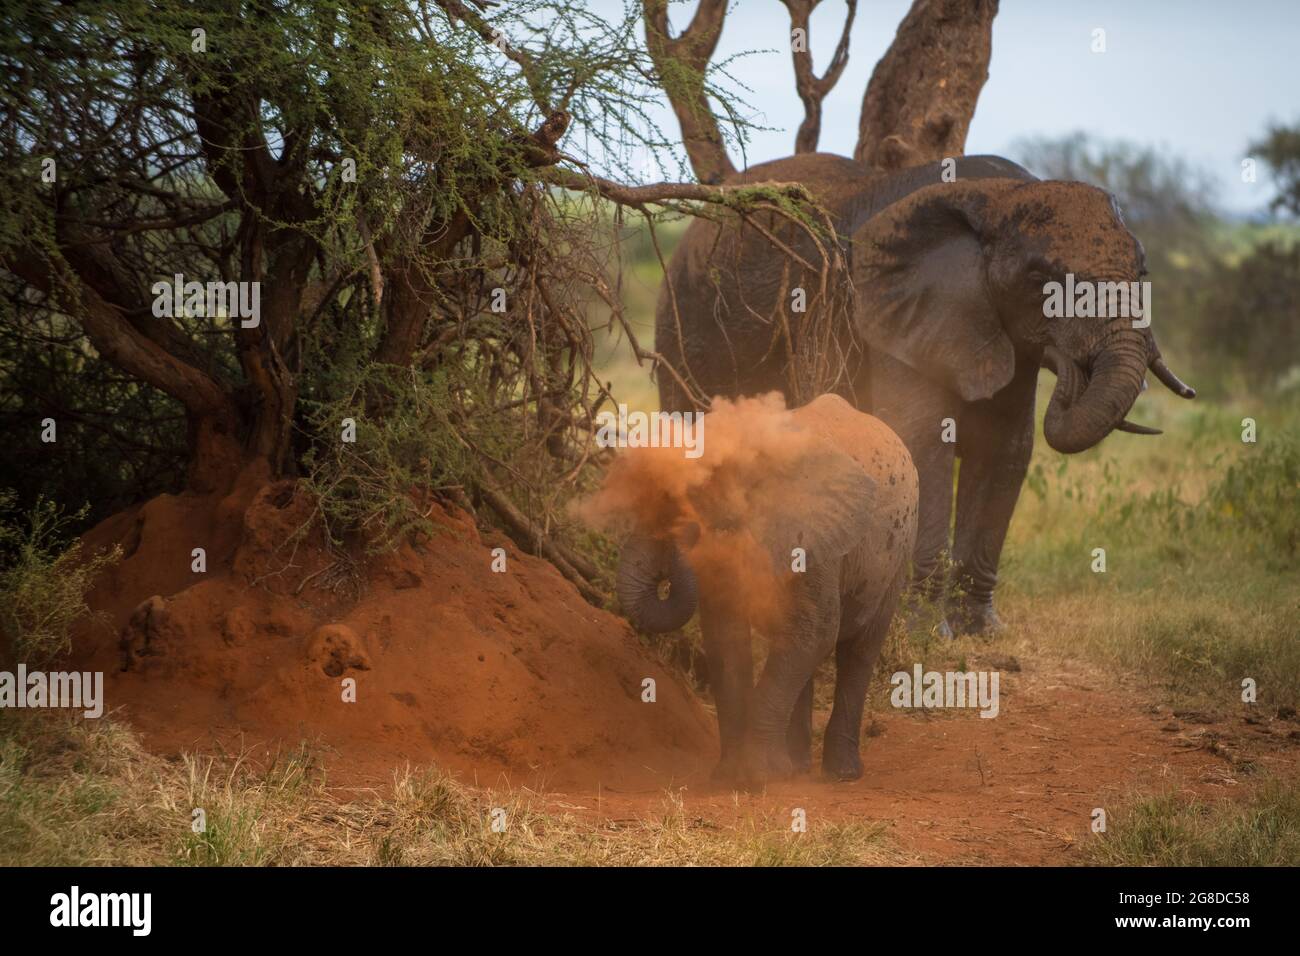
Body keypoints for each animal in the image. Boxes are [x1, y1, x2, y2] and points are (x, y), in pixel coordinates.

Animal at [616, 393, 918, 787]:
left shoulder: (814, 544)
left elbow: (816, 633)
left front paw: (757, 776)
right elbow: (727, 637)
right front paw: (730, 778)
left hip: (898, 553)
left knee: (859, 649)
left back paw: (840, 774)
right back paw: (796, 767)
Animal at [654, 153, 1196, 637]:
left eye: (1143, 272)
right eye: (1042, 281)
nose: (1069, 364)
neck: (1001, 195)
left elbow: (1007, 451)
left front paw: (983, 631)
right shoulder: (894, 317)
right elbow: (923, 441)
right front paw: (924, 632)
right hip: (687, 327)